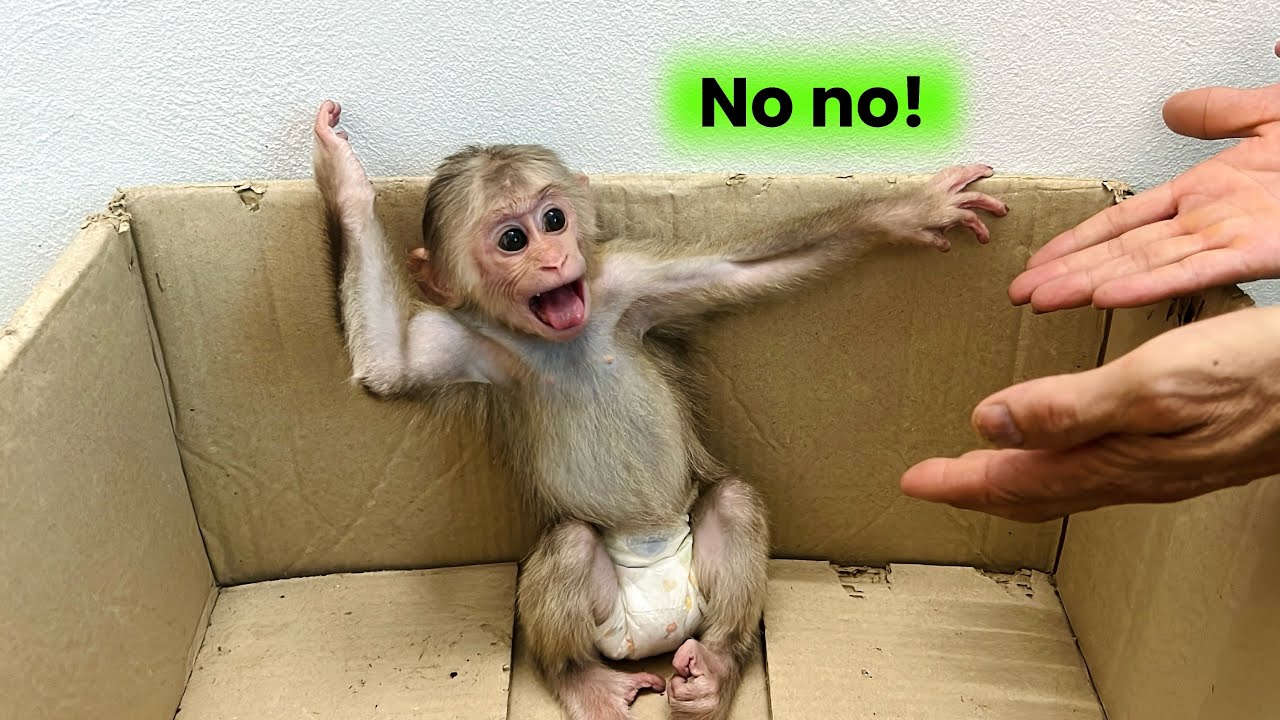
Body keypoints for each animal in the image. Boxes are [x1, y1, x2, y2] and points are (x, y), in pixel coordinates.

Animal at [310, 99, 1006, 720]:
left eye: (554, 219)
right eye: (513, 239)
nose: (553, 258)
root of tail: (661, 631)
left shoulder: (628, 284)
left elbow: (743, 268)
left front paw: (910, 211)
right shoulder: (473, 343)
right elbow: (388, 369)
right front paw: (344, 181)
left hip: (699, 596)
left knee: (734, 504)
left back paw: (717, 666)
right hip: (607, 623)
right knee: (569, 548)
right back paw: (582, 679)